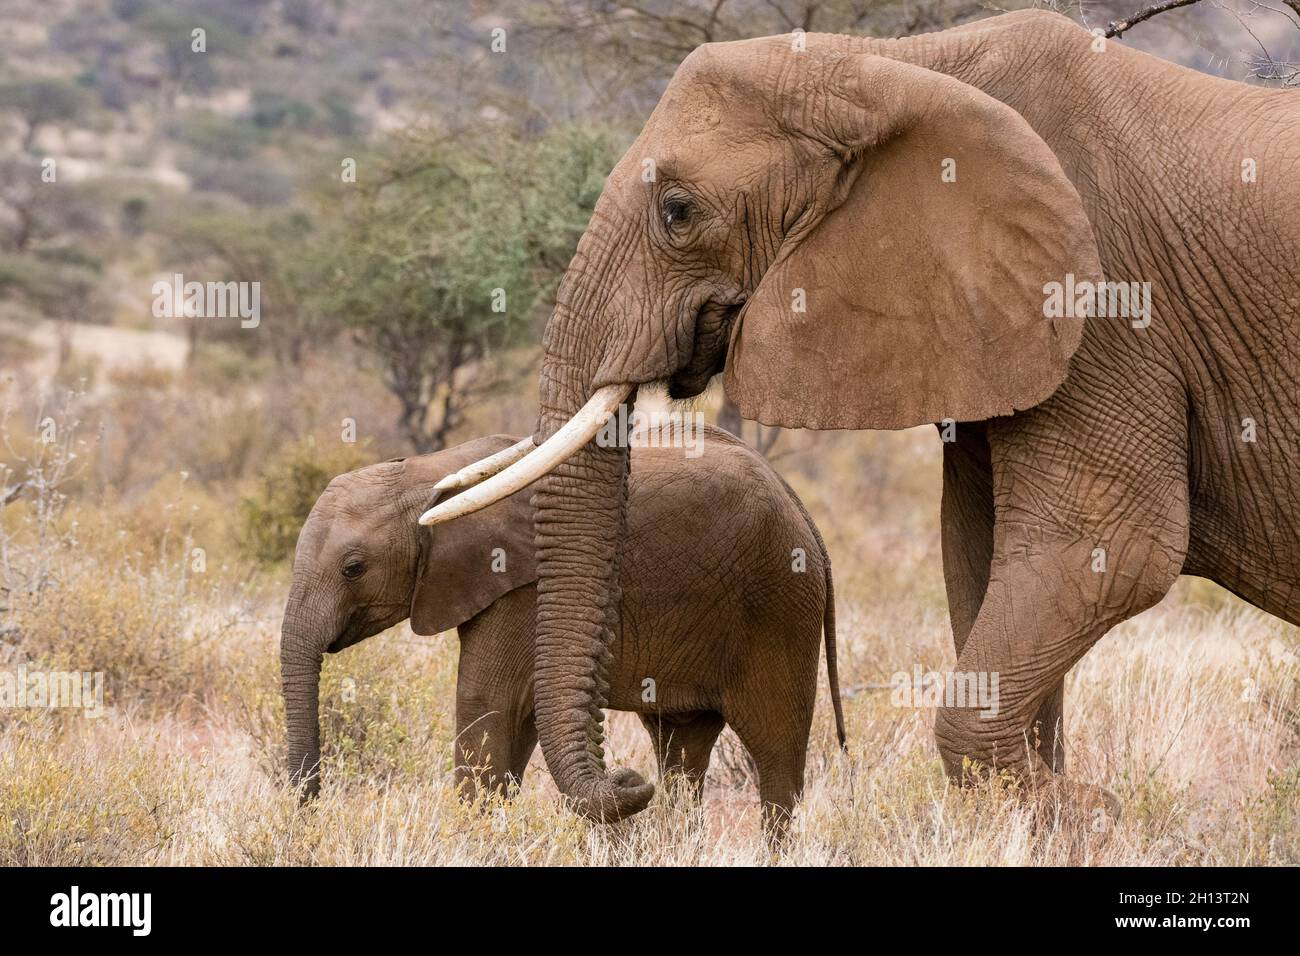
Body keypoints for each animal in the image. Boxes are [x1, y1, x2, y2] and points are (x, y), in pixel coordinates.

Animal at [281, 427, 846, 835]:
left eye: (353, 568)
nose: (309, 806)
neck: (430, 474)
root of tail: (808, 520)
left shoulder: (523, 586)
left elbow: (487, 700)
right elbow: (516, 716)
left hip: (780, 608)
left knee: (776, 756)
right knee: (681, 748)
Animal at [419, 10, 1300, 822]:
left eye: (677, 211)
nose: (630, 782)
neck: (891, 67)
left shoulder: (1107, 308)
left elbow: (1107, 549)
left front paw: (1084, 812)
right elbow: (981, 557)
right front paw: (1056, 806)